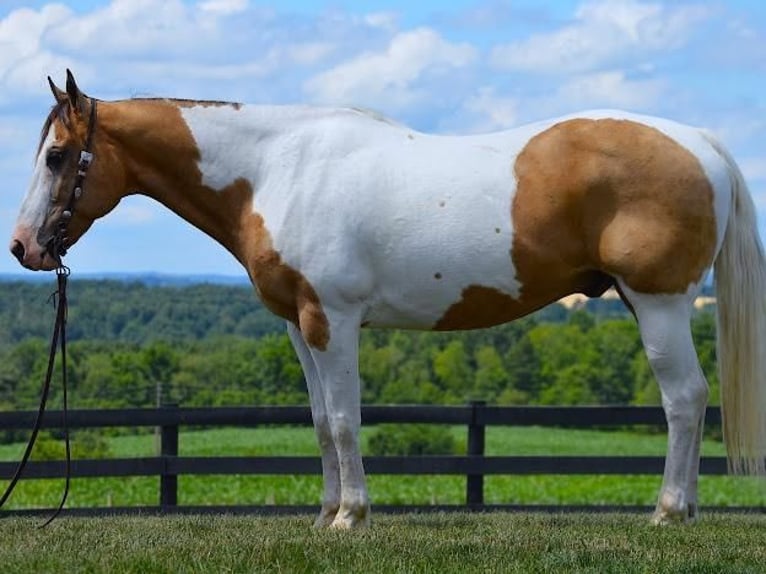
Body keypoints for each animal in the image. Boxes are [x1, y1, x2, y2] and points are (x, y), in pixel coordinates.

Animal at [10, 70, 766, 528]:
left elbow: (347, 420)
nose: (22, 248)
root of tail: (701, 143)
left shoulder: (333, 321)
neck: (276, 170)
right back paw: (685, 510)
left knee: (684, 400)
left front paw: (351, 517)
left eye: (56, 156)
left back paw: (668, 511)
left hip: (660, 305)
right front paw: (324, 515)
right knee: (693, 401)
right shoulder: (299, 327)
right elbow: (321, 423)